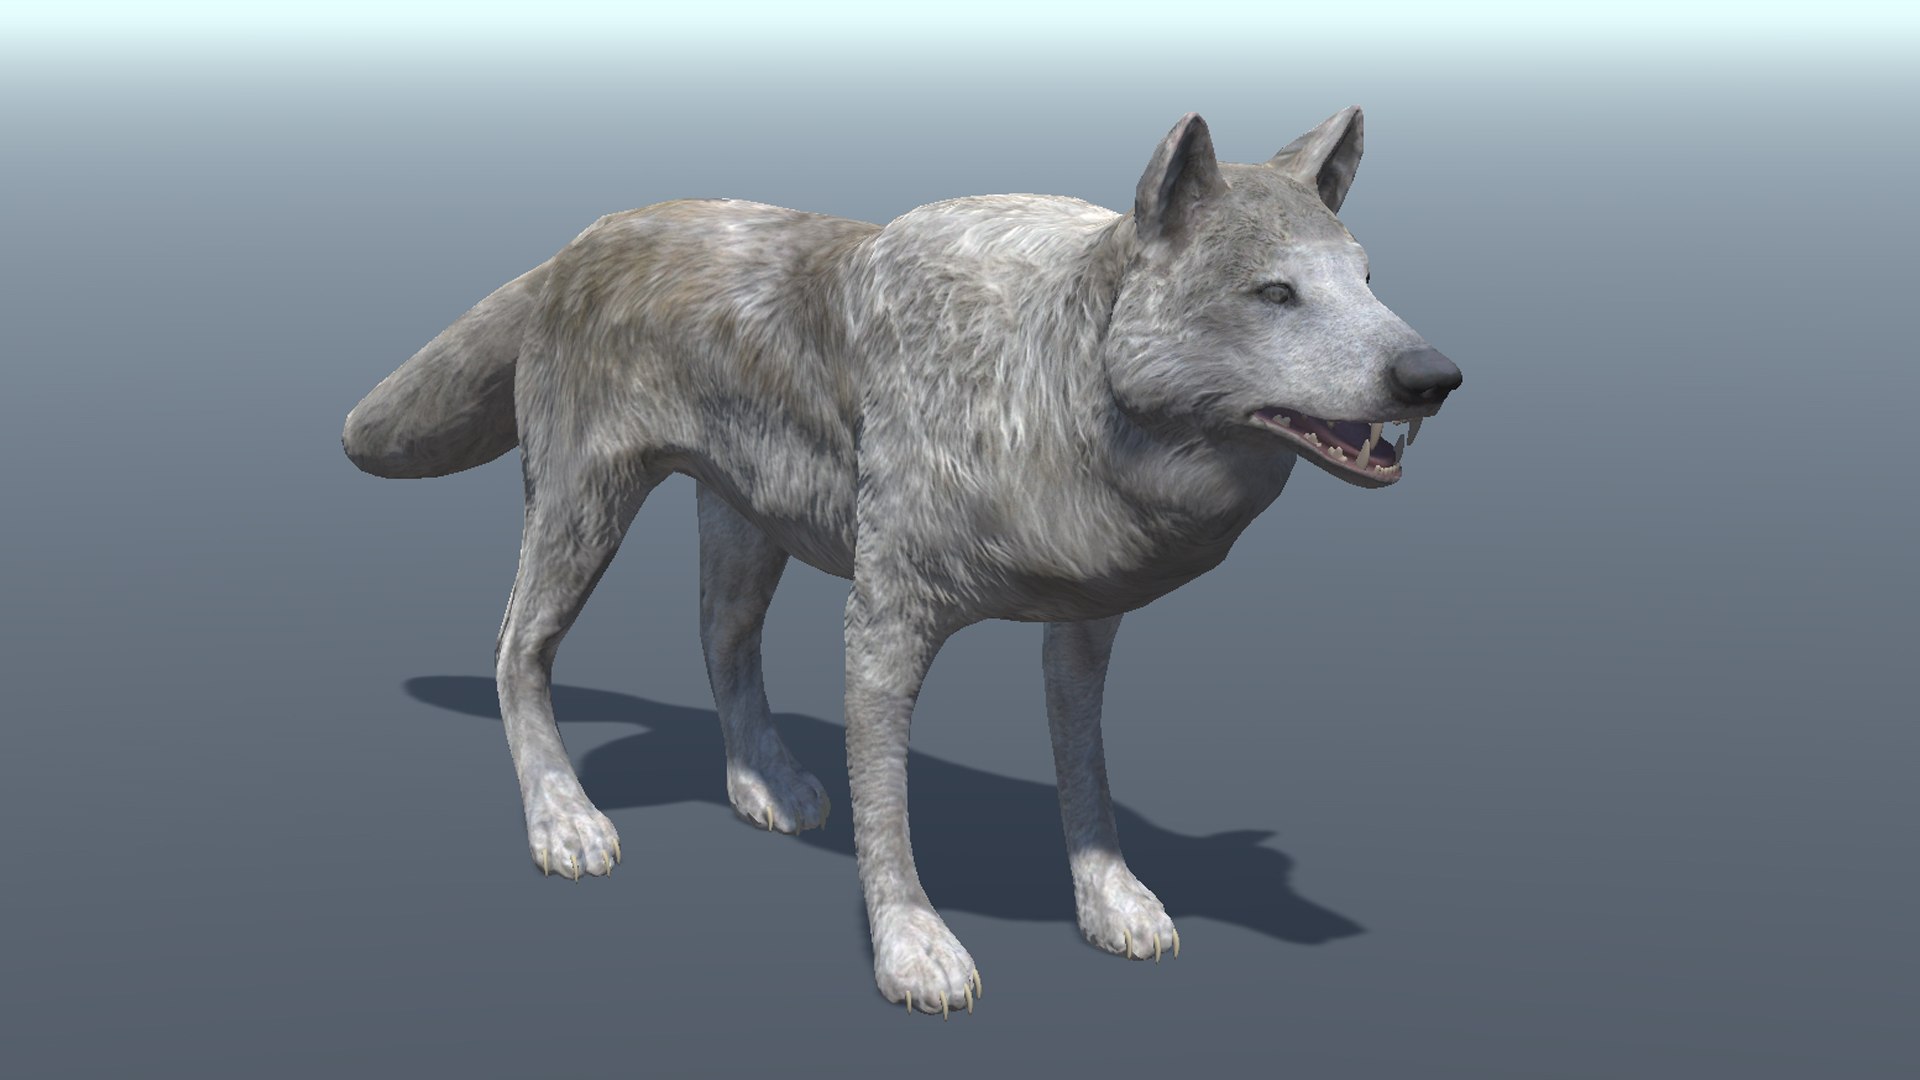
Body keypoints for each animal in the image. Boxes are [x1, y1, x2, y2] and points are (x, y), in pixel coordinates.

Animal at [343, 107, 1461, 1015]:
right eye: (1276, 293)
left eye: (1368, 283)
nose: (1435, 376)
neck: (1046, 384)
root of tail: (583, 238)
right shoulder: (885, 622)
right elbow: (889, 809)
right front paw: (912, 951)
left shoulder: (1083, 629)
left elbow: (1087, 776)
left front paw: (1111, 901)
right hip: (584, 510)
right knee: (516, 648)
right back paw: (563, 821)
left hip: (747, 529)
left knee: (720, 642)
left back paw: (764, 783)